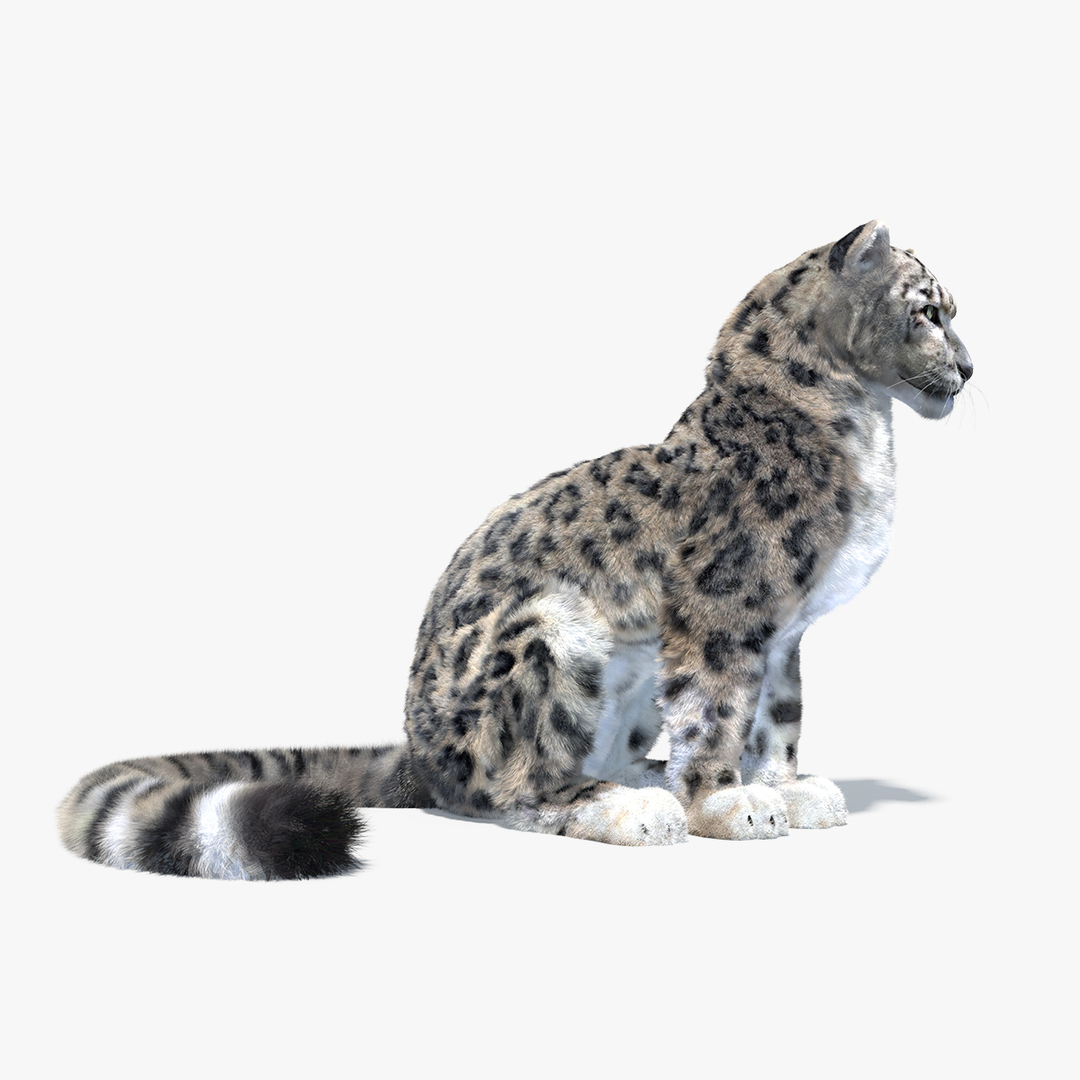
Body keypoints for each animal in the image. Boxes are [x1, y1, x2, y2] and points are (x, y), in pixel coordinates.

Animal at [58, 220, 972, 878]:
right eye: (928, 311)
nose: (968, 367)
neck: (868, 434)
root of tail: (418, 748)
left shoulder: (783, 632)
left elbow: (777, 717)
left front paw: (786, 785)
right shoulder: (725, 613)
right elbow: (718, 713)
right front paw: (728, 803)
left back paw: (643, 777)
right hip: (553, 631)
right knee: (511, 786)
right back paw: (631, 806)